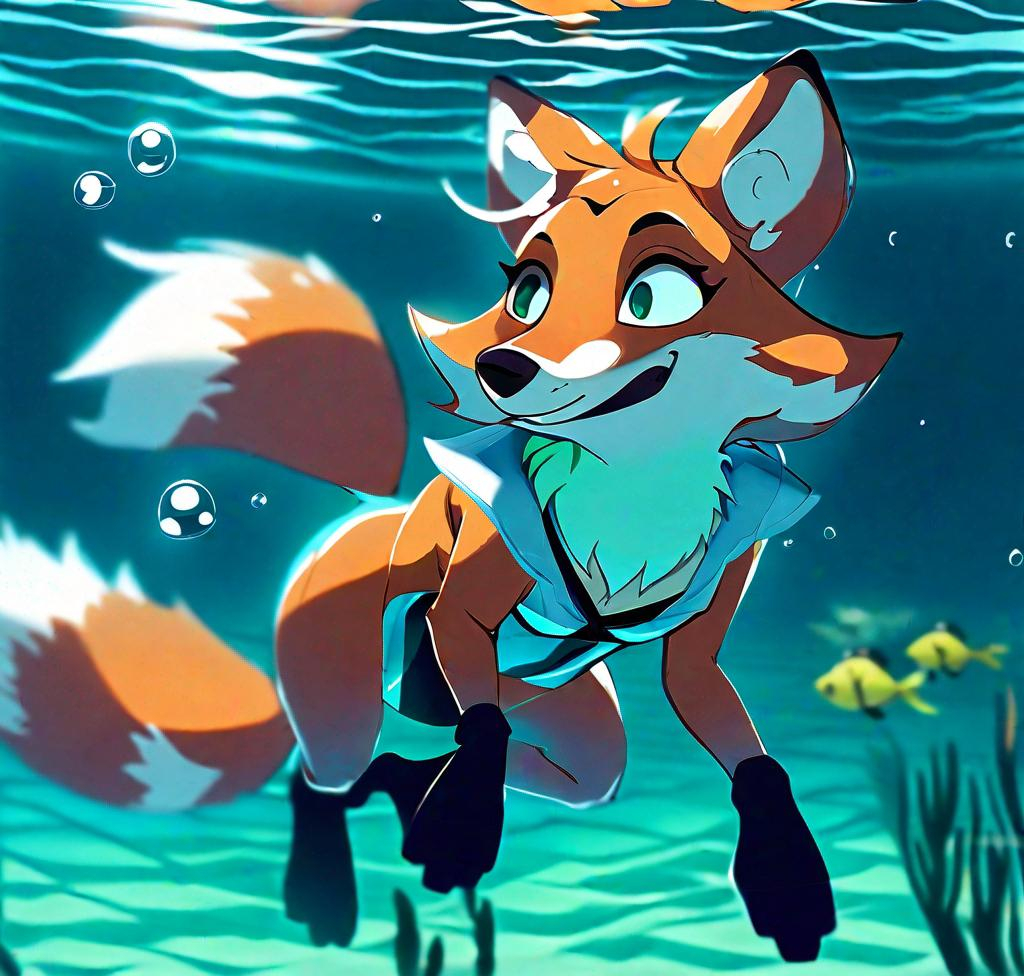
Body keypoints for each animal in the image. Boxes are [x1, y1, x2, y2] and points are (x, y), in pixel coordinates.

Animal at [14, 49, 899, 963]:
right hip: (334, 657)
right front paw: (462, 815)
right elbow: (473, 687)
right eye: (529, 291)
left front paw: (785, 868)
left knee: (575, 771)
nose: (505, 367)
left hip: (566, 718)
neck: (636, 476)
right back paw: (330, 883)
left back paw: (408, 792)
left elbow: (710, 702)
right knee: (332, 766)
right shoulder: (484, 551)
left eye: (653, 294)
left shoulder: (741, 548)